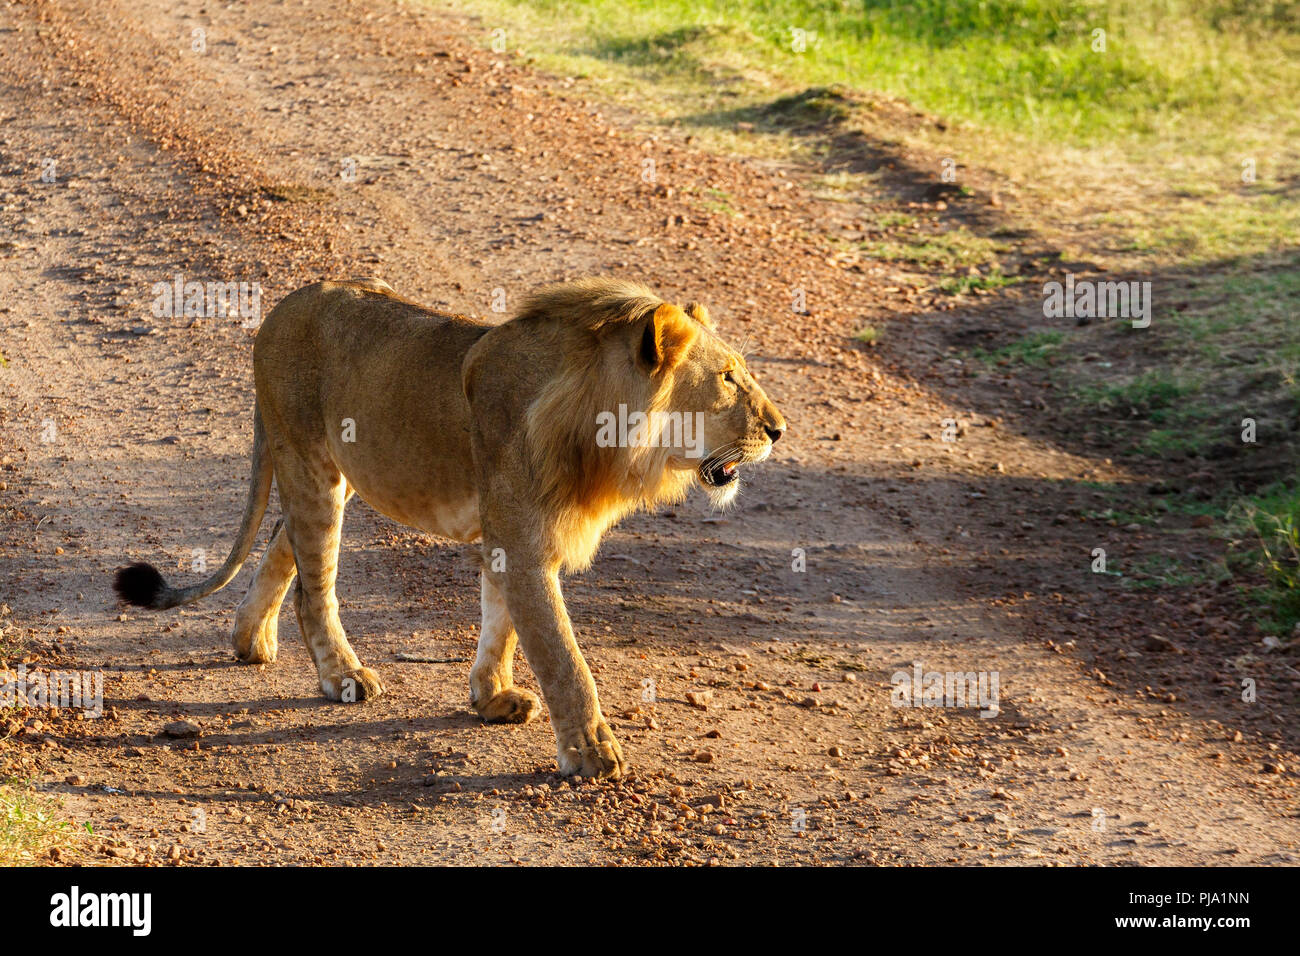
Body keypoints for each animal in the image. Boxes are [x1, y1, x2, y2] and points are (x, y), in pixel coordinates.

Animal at [113, 276, 786, 778]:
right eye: (727, 377)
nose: (779, 429)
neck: (604, 430)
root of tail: (283, 306)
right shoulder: (522, 537)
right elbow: (562, 656)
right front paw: (594, 754)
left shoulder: (513, 535)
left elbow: (502, 625)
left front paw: (491, 698)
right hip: (309, 464)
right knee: (313, 583)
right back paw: (342, 676)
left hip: (343, 470)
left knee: (285, 542)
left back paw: (250, 639)